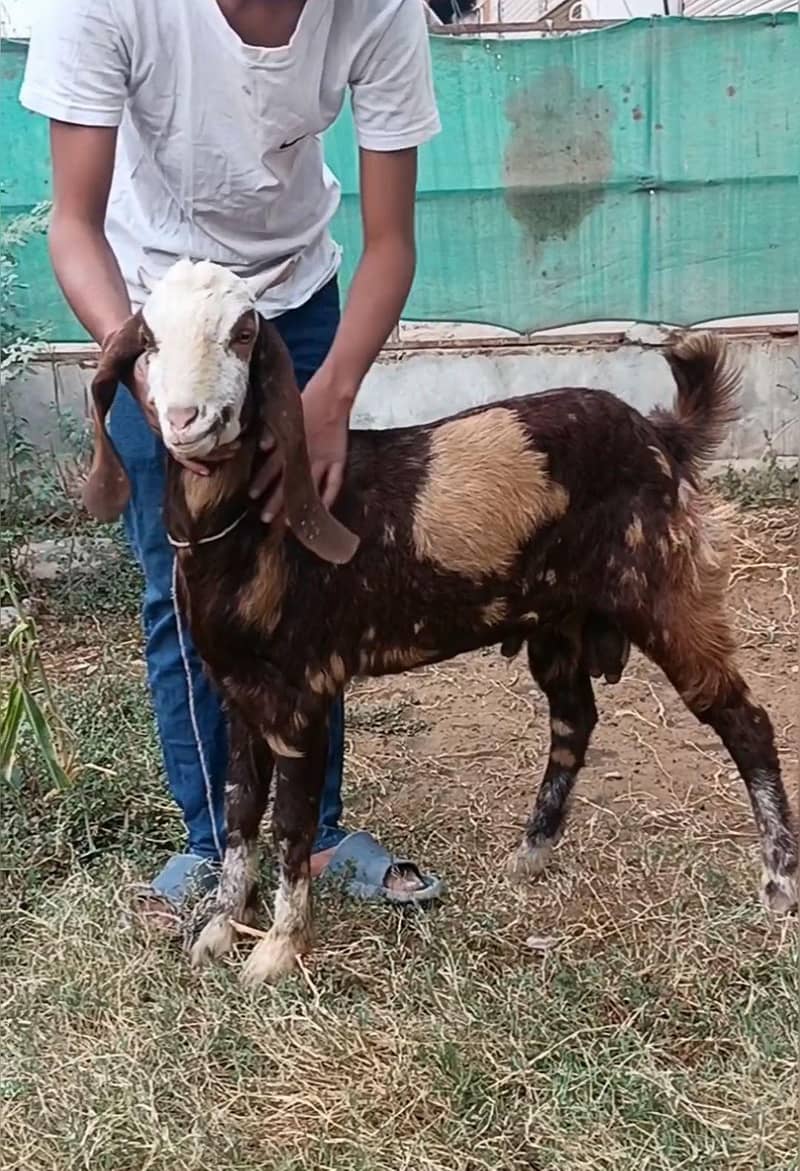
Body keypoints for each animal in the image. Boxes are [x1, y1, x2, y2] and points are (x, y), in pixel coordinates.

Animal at [86, 259, 797, 986]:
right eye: (148, 339)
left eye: (245, 332)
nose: (185, 418)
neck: (253, 528)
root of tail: (661, 437)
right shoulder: (237, 694)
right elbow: (236, 814)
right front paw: (219, 931)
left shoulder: (303, 694)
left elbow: (290, 824)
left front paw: (277, 951)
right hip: (558, 620)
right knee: (575, 718)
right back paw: (532, 853)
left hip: (666, 592)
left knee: (744, 719)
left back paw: (778, 881)